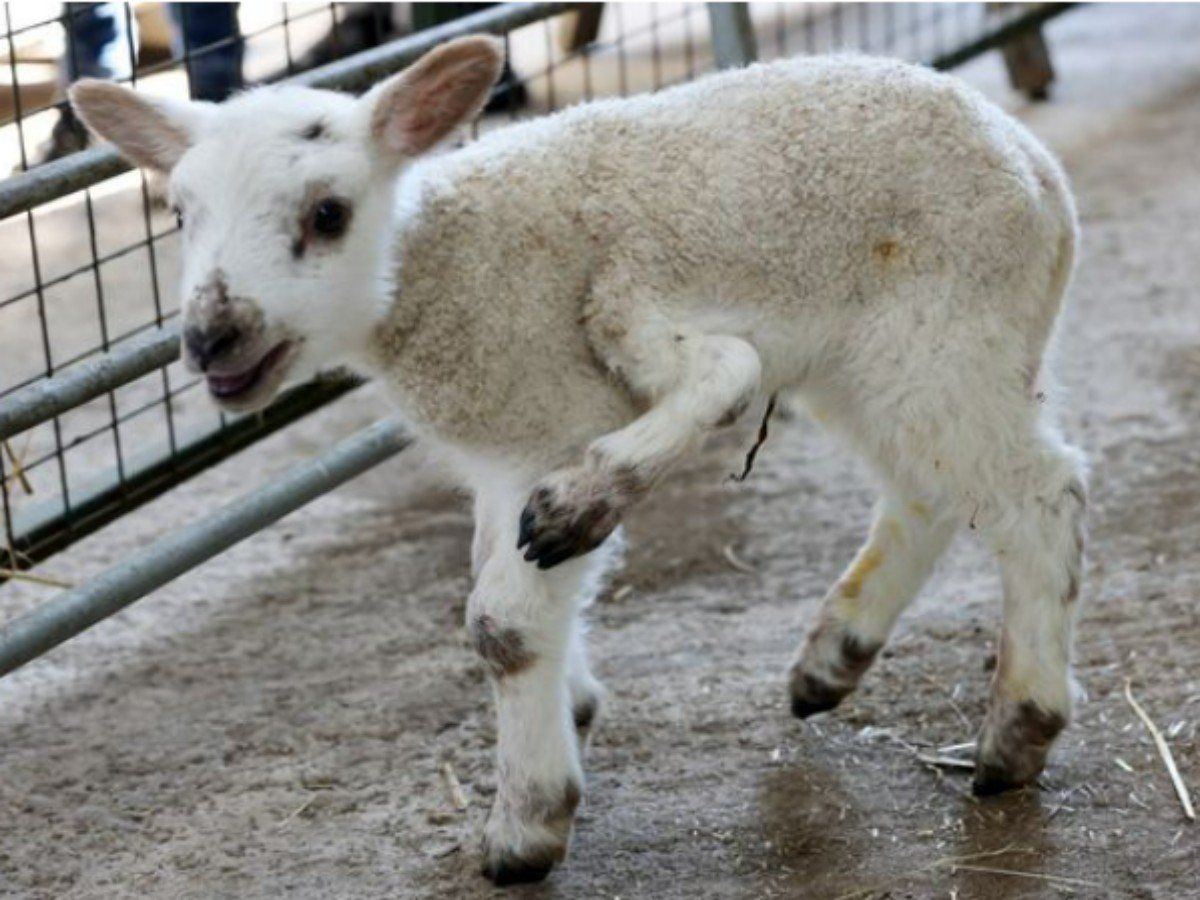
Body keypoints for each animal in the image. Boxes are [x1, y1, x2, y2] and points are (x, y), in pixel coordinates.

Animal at [70, 35, 1085, 885]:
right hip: (875, 362)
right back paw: (831, 660)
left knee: (1039, 494)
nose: (212, 338)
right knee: (928, 492)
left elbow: (504, 619)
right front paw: (578, 697)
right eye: (177, 213)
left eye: (328, 213)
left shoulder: (562, 405)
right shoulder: (503, 448)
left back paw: (1016, 731)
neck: (443, 265)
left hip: (943, 327)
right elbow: (501, 582)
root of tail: (1040, 174)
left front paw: (527, 824)